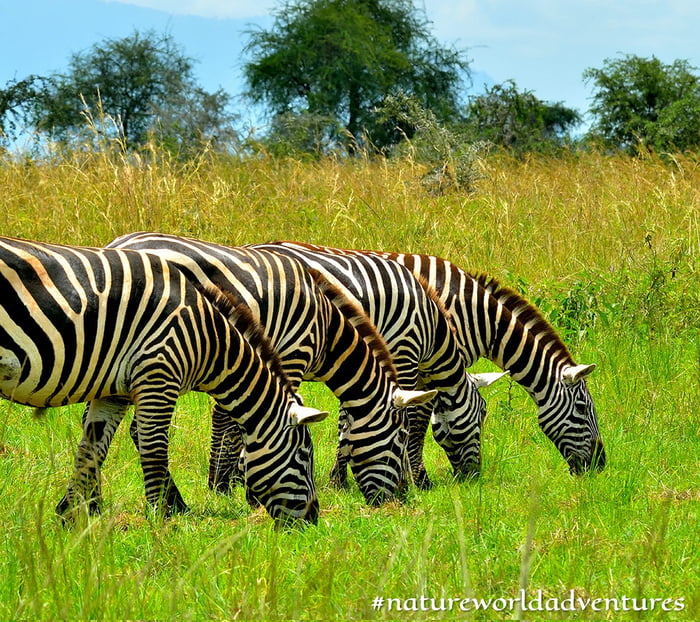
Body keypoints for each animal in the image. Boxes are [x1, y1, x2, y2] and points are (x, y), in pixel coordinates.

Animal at [0, 235, 327, 524]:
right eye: (303, 457)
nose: (312, 520)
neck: (206, 337)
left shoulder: (113, 394)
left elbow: (91, 449)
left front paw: (73, 515)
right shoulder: (158, 375)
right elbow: (155, 452)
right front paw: (161, 522)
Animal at [106, 232, 436, 505]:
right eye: (400, 437)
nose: (399, 499)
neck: (325, 330)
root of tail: (120, 242)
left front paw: (232, 485)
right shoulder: (292, 357)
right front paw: (250, 492)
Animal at [249, 241, 507, 489]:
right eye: (483, 412)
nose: (473, 477)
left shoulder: (359, 369)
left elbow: (348, 419)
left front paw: (339, 479)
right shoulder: (406, 357)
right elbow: (414, 416)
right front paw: (416, 479)